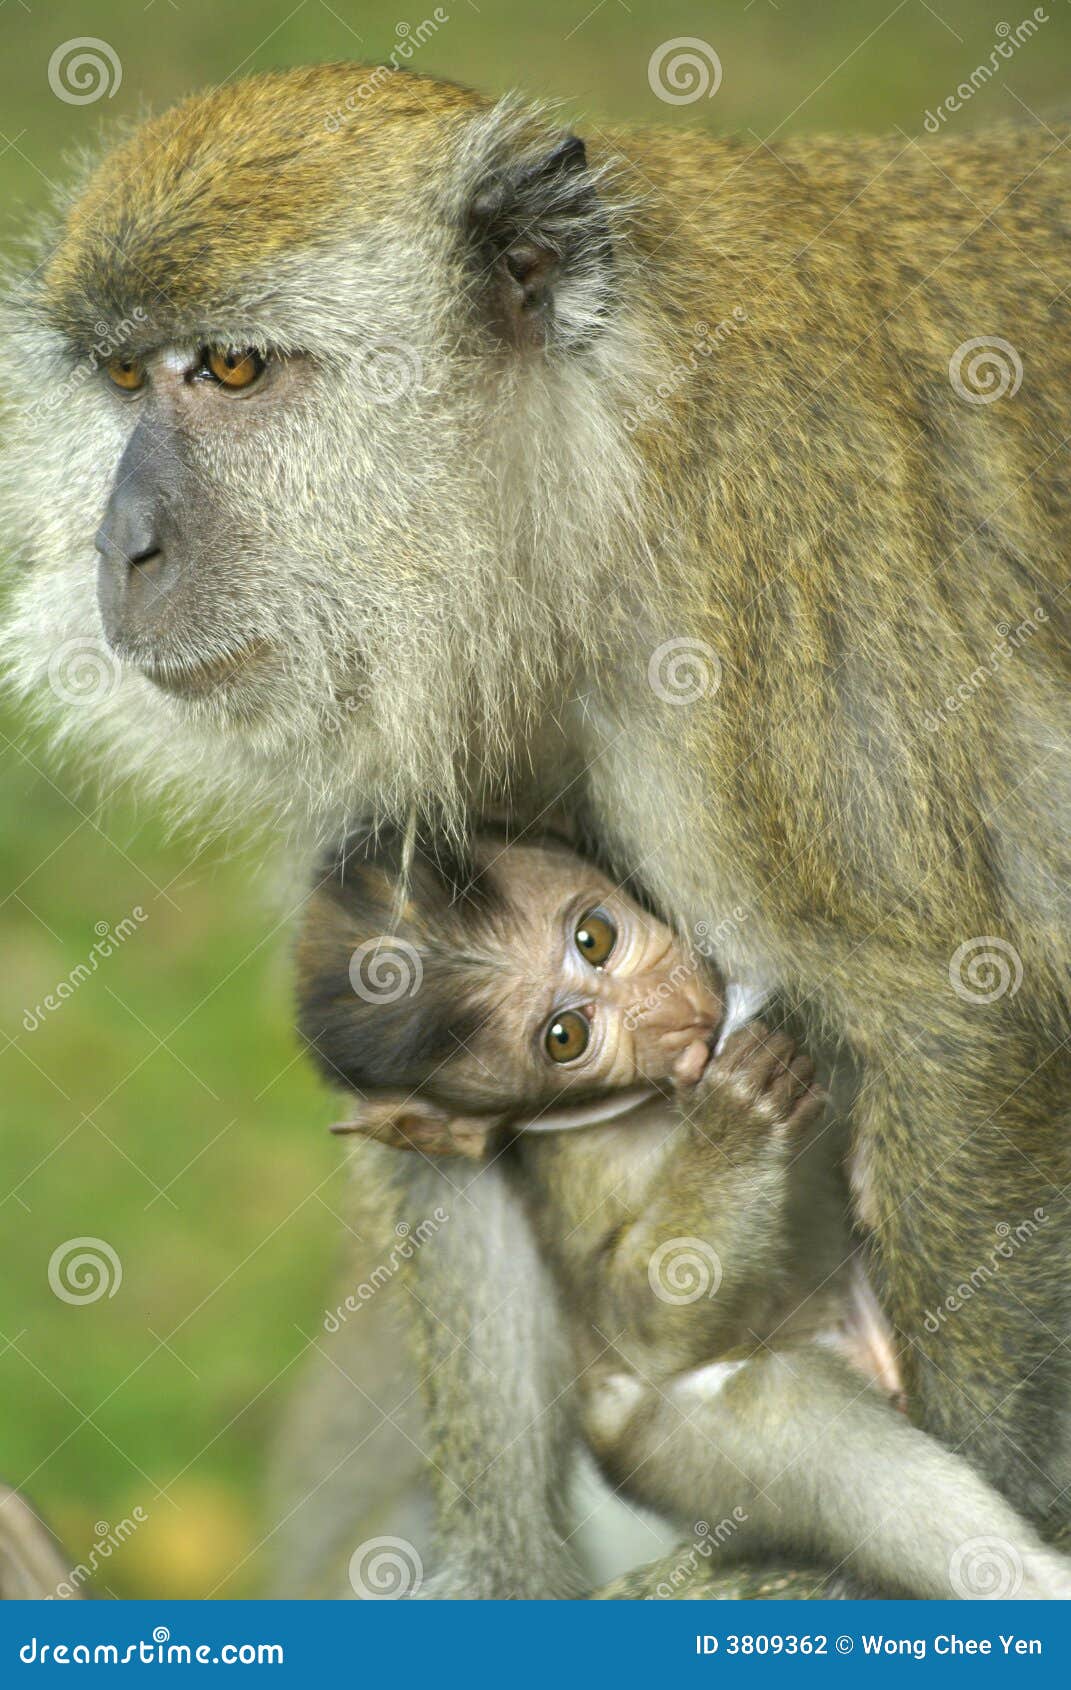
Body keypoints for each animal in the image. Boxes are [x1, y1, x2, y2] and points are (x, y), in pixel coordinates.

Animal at [294, 827, 1071, 1600]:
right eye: (565, 1038)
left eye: (594, 937)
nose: (666, 1006)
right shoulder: (585, 1165)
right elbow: (639, 1316)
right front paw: (736, 1124)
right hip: (677, 1458)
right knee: (797, 1415)